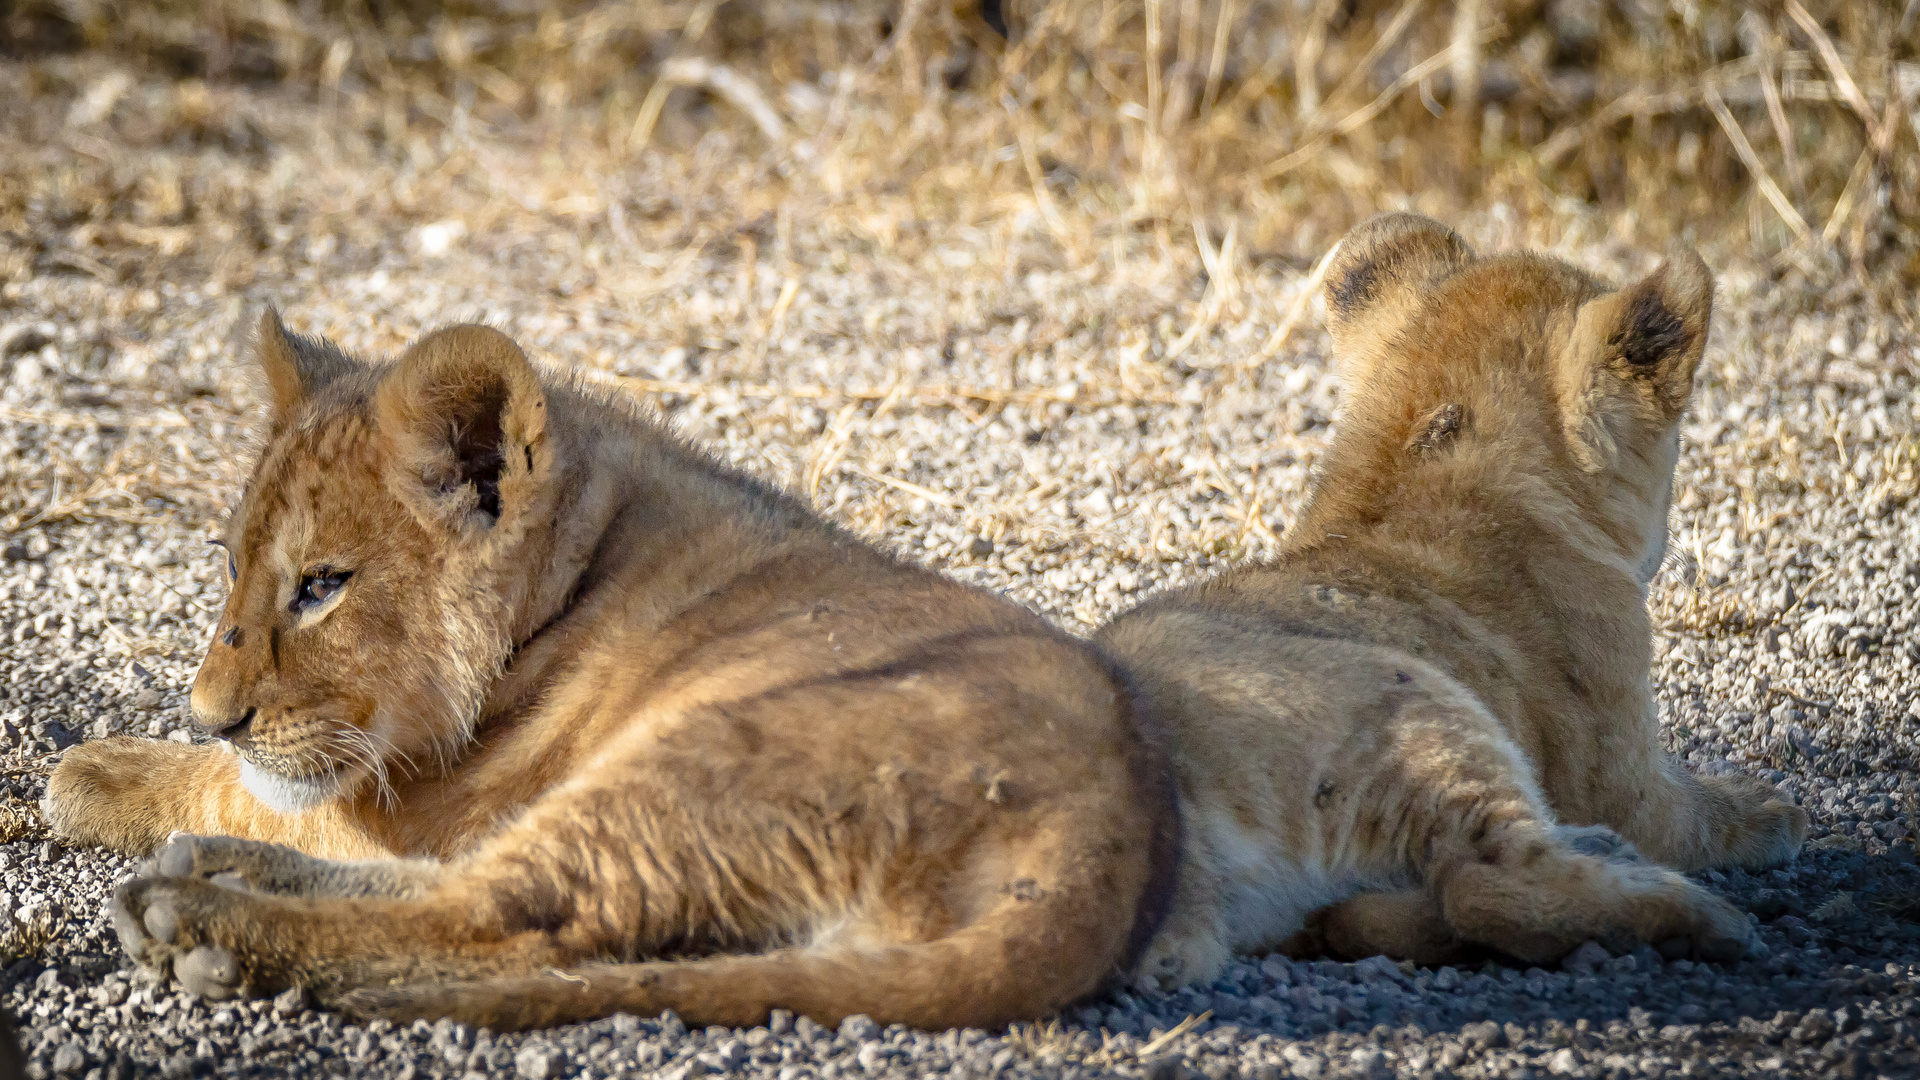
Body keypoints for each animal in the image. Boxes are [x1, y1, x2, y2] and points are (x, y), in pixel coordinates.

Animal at [42, 314, 1179, 1031]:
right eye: (230, 570)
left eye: (322, 585)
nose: (211, 713)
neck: (581, 560)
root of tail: (1116, 838)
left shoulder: (417, 794)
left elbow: (256, 786)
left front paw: (95, 771)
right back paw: (225, 873)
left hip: (700, 757)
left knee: (502, 919)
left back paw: (204, 921)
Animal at [1097, 214, 1807, 988]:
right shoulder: (1624, 777)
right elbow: (1698, 813)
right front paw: (1773, 811)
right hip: (1413, 700)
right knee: (1486, 883)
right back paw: (1699, 918)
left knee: (1372, 913)